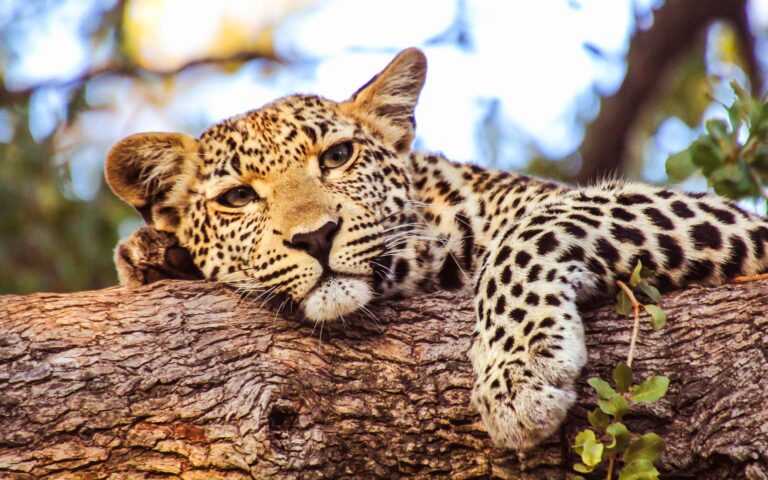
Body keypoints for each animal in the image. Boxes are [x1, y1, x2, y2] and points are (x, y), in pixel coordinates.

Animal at [105, 47, 768, 452]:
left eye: (338, 156)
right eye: (238, 197)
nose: (315, 236)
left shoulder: (737, 222)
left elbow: (537, 228)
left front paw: (519, 373)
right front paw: (152, 254)